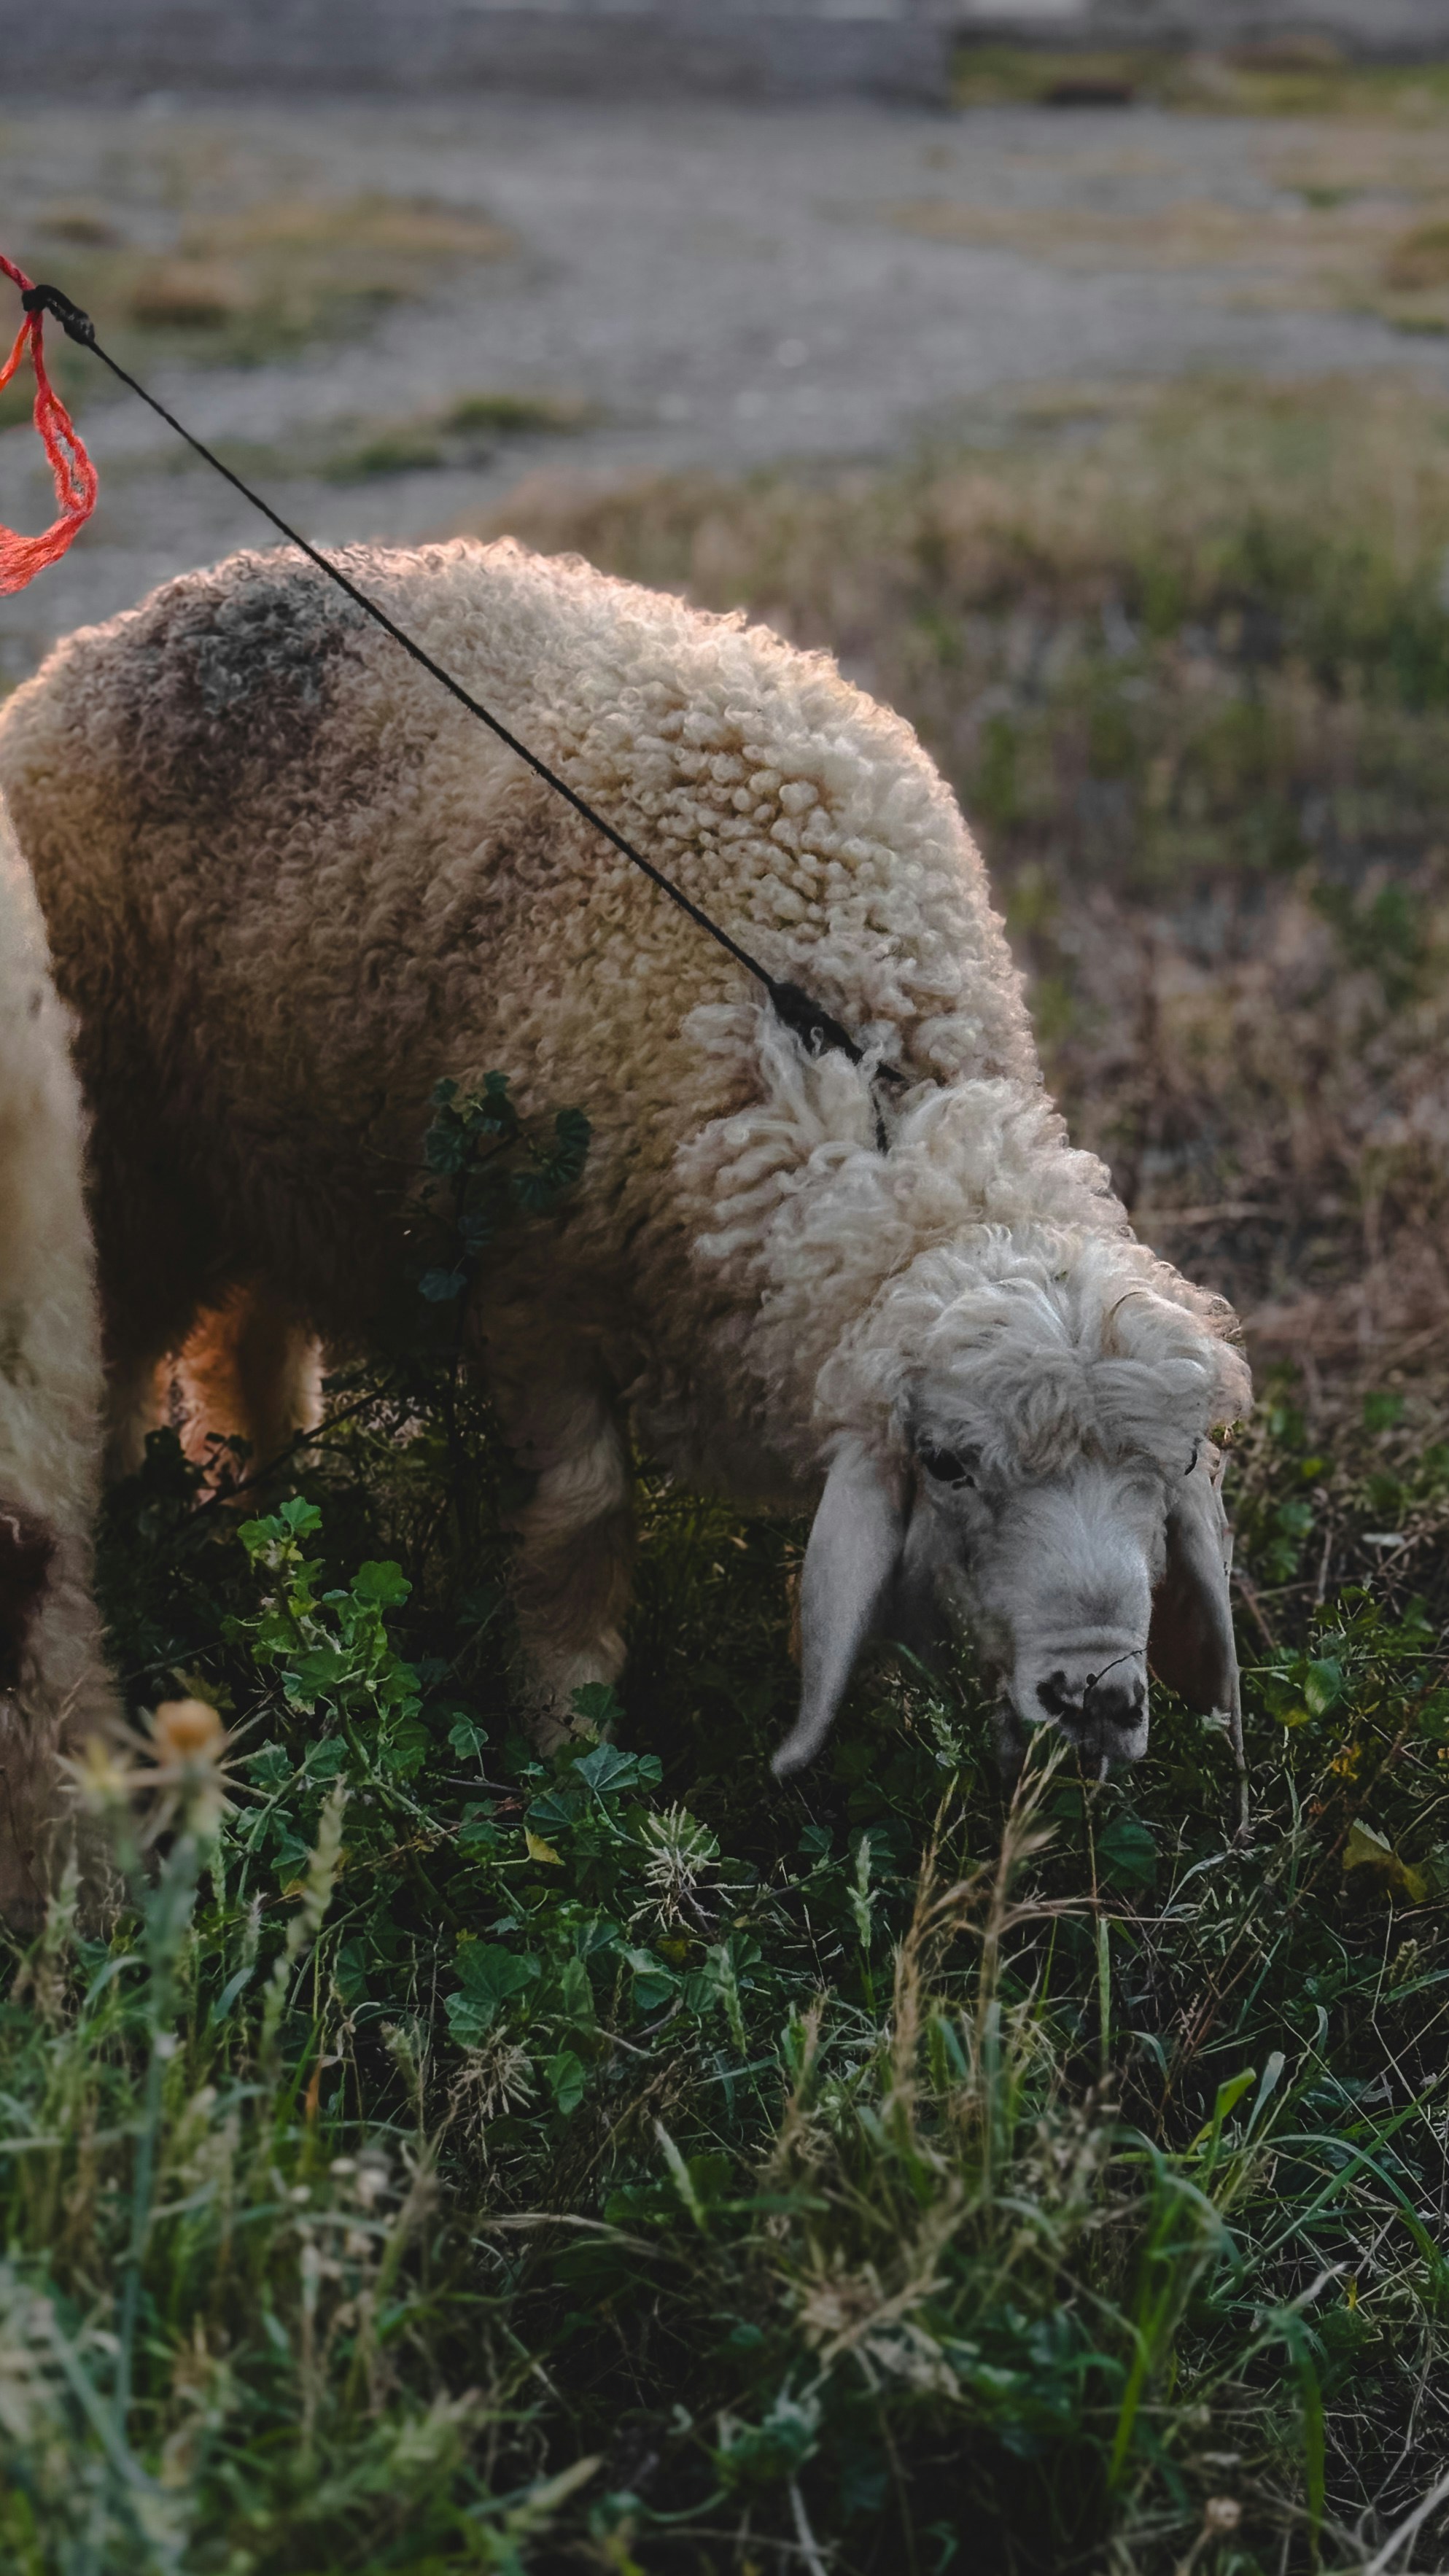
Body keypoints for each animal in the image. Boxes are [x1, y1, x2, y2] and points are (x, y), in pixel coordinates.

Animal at [0, 536, 1251, 1783]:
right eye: (947, 1462)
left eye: (1178, 1464)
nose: (1093, 1696)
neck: (833, 1041)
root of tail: (138, 620)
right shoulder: (534, 1287)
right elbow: (584, 1519)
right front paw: (569, 1734)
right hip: (132, 1147)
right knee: (116, 1349)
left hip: (271, 1142)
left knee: (252, 1346)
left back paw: (265, 1505)